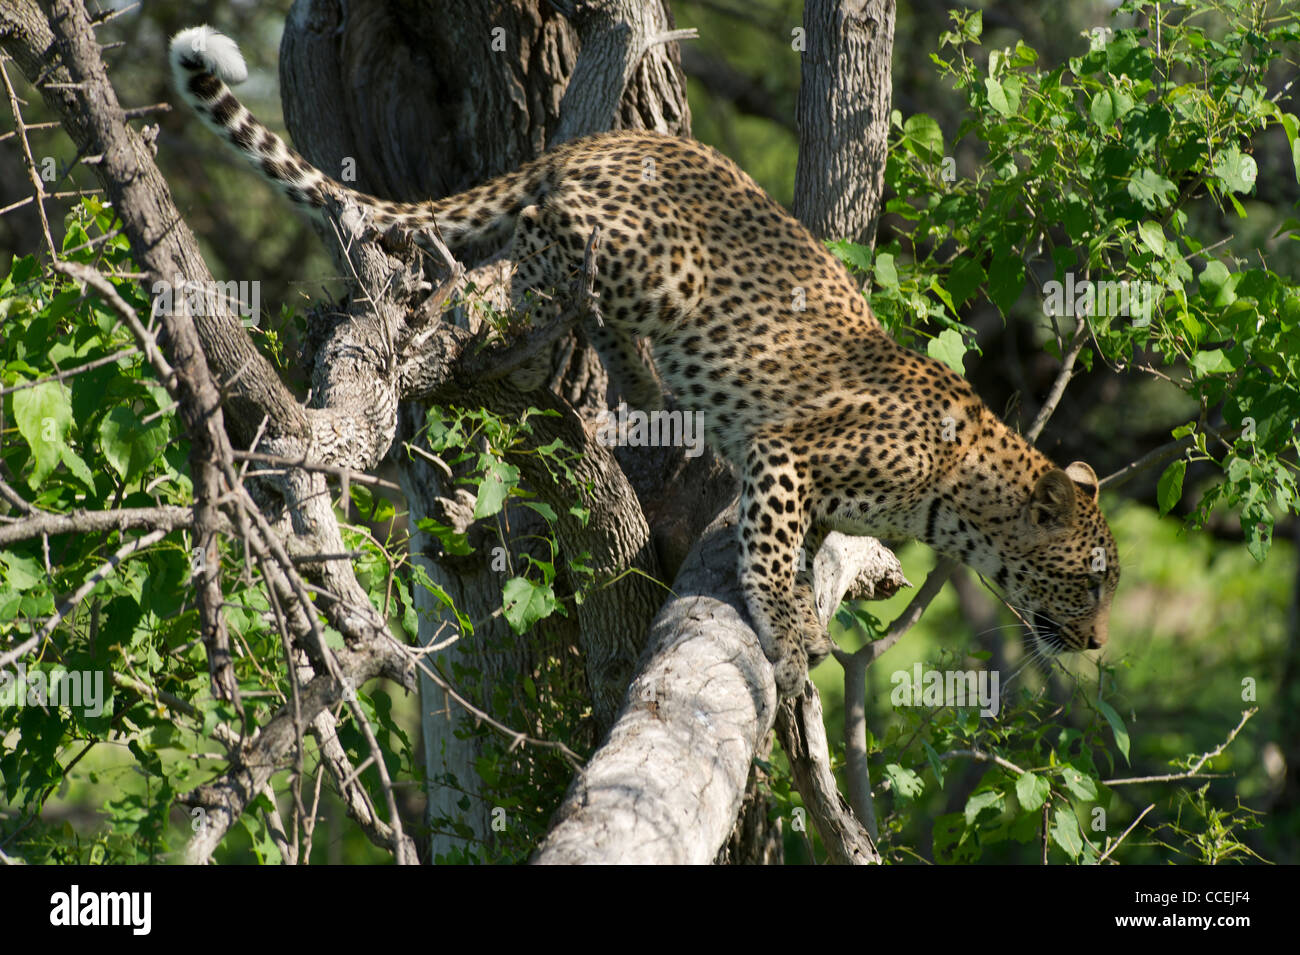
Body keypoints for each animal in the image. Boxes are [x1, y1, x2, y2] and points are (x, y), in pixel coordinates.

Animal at [170, 26, 1119, 698]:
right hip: (657, 263)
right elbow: (770, 551)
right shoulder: (787, 452)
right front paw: (790, 634)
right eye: (1093, 580)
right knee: (544, 231)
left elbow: (797, 543)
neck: (957, 494)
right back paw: (572, 341)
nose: (1102, 641)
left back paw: (644, 386)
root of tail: (602, 143)